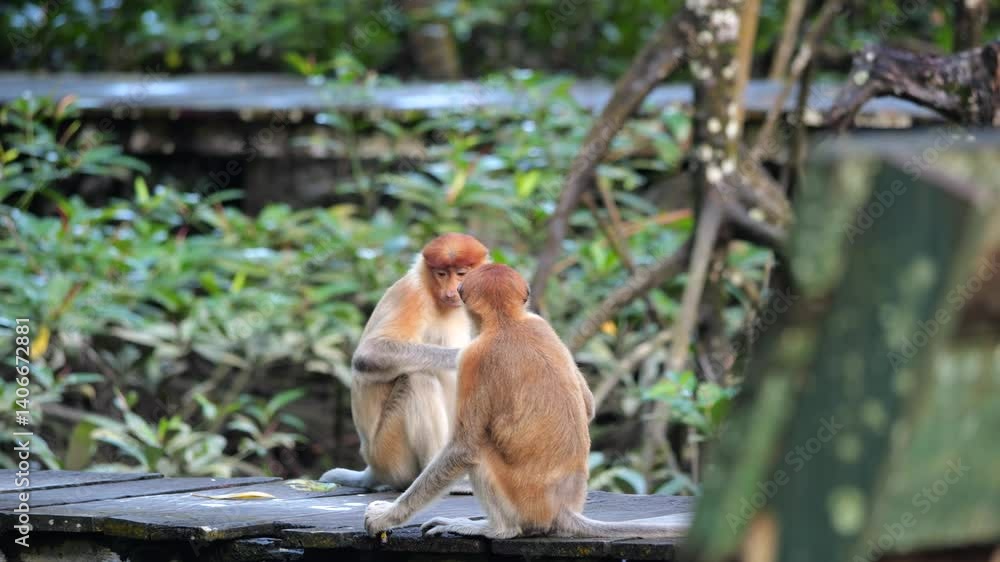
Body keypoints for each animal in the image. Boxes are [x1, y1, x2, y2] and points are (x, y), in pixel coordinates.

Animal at [319, 233, 489, 491]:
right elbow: (369, 354)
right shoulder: (413, 294)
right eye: (441, 274)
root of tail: (372, 467)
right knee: (418, 379)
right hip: (389, 454)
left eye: (461, 273)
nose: (452, 292)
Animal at [363, 264, 692, 539]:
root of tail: (561, 510)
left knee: (478, 451)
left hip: (520, 502)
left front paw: (384, 517)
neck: (508, 322)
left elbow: (463, 447)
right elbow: (587, 404)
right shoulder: (541, 323)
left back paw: (496, 529)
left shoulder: (474, 357)